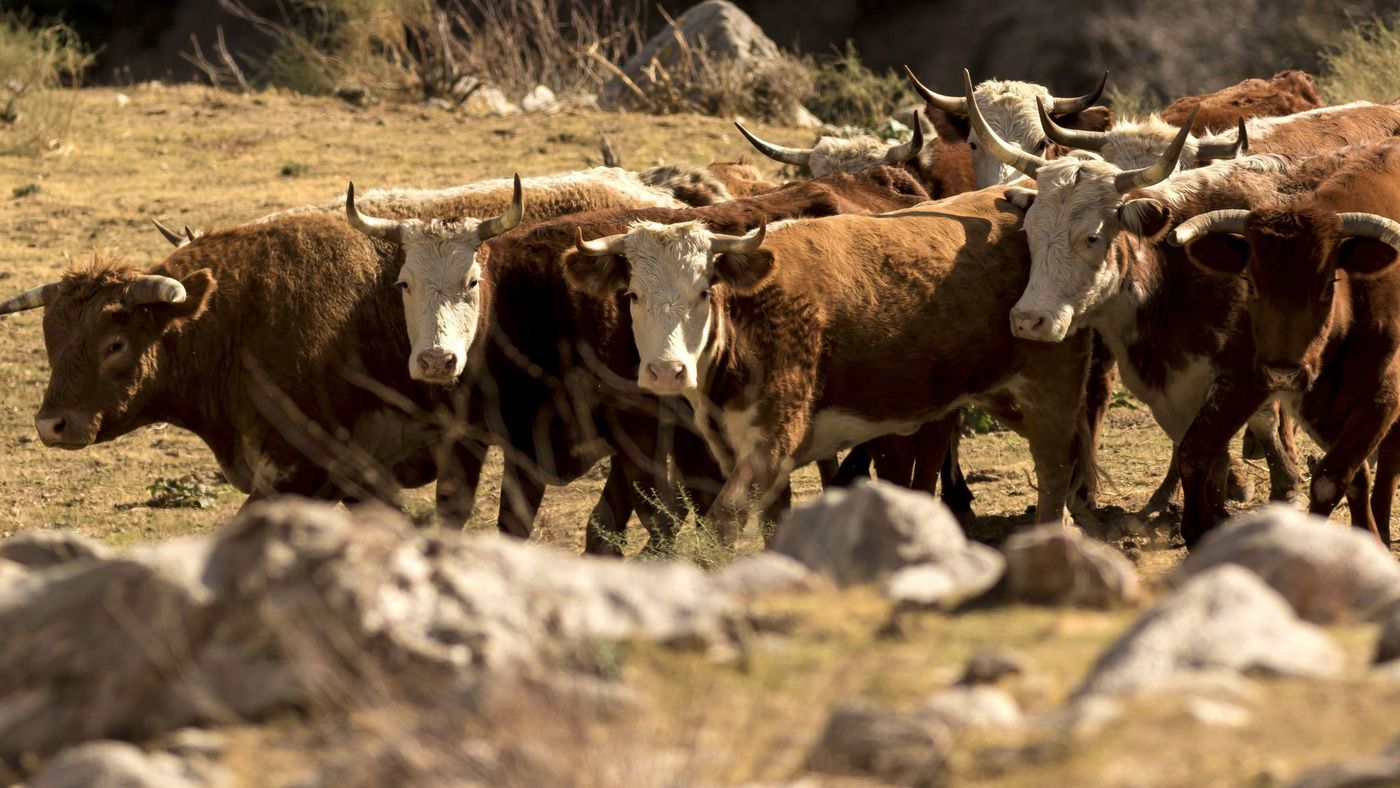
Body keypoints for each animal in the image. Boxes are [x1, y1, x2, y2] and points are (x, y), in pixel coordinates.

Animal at [343, 169, 931, 550]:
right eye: (404, 284)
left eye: (470, 281)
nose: (437, 360)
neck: (534, 302)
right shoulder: (483, 440)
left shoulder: (640, 429)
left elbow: (652, 520)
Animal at [562, 187, 1098, 543]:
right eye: (633, 295)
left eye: (702, 292)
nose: (666, 372)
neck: (749, 319)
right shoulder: (745, 455)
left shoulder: (772, 442)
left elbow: (724, 521)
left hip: (1051, 389)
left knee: (1054, 468)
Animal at [1166, 140, 1400, 546]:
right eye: (1252, 283)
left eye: (1327, 285)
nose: (1283, 372)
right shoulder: (1249, 377)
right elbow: (1194, 450)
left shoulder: (1383, 396)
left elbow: (1330, 480)